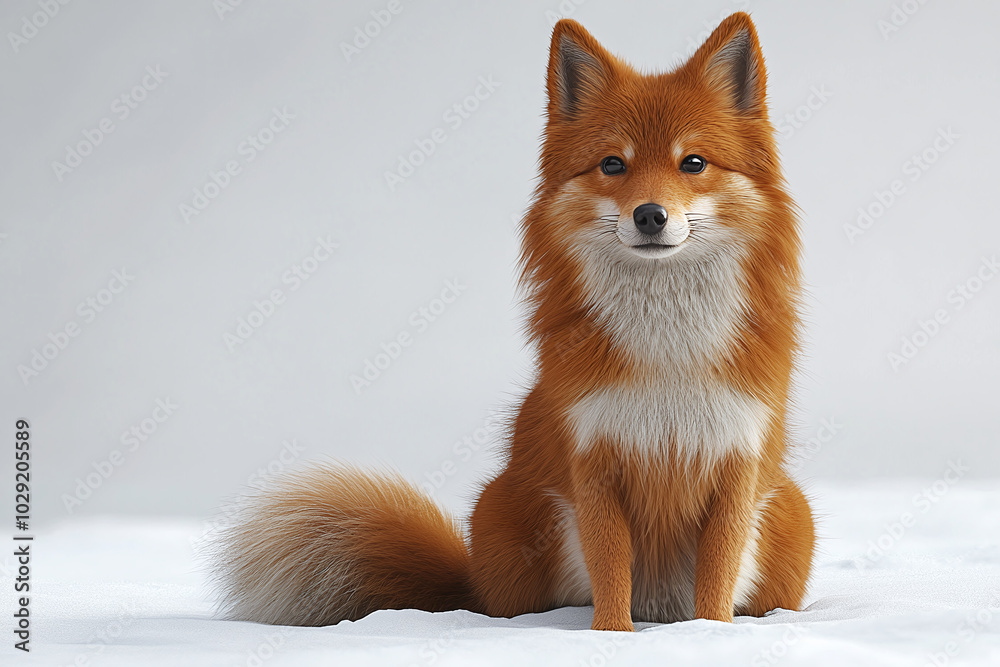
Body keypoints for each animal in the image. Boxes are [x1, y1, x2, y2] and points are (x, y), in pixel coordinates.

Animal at [209, 12, 815, 632]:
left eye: (692, 162)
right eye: (613, 164)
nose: (650, 215)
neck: (666, 356)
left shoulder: (736, 462)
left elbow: (716, 579)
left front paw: (709, 635)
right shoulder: (592, 459)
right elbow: (609, 568)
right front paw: (612, 636)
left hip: (793, 516)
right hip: (501, 519)